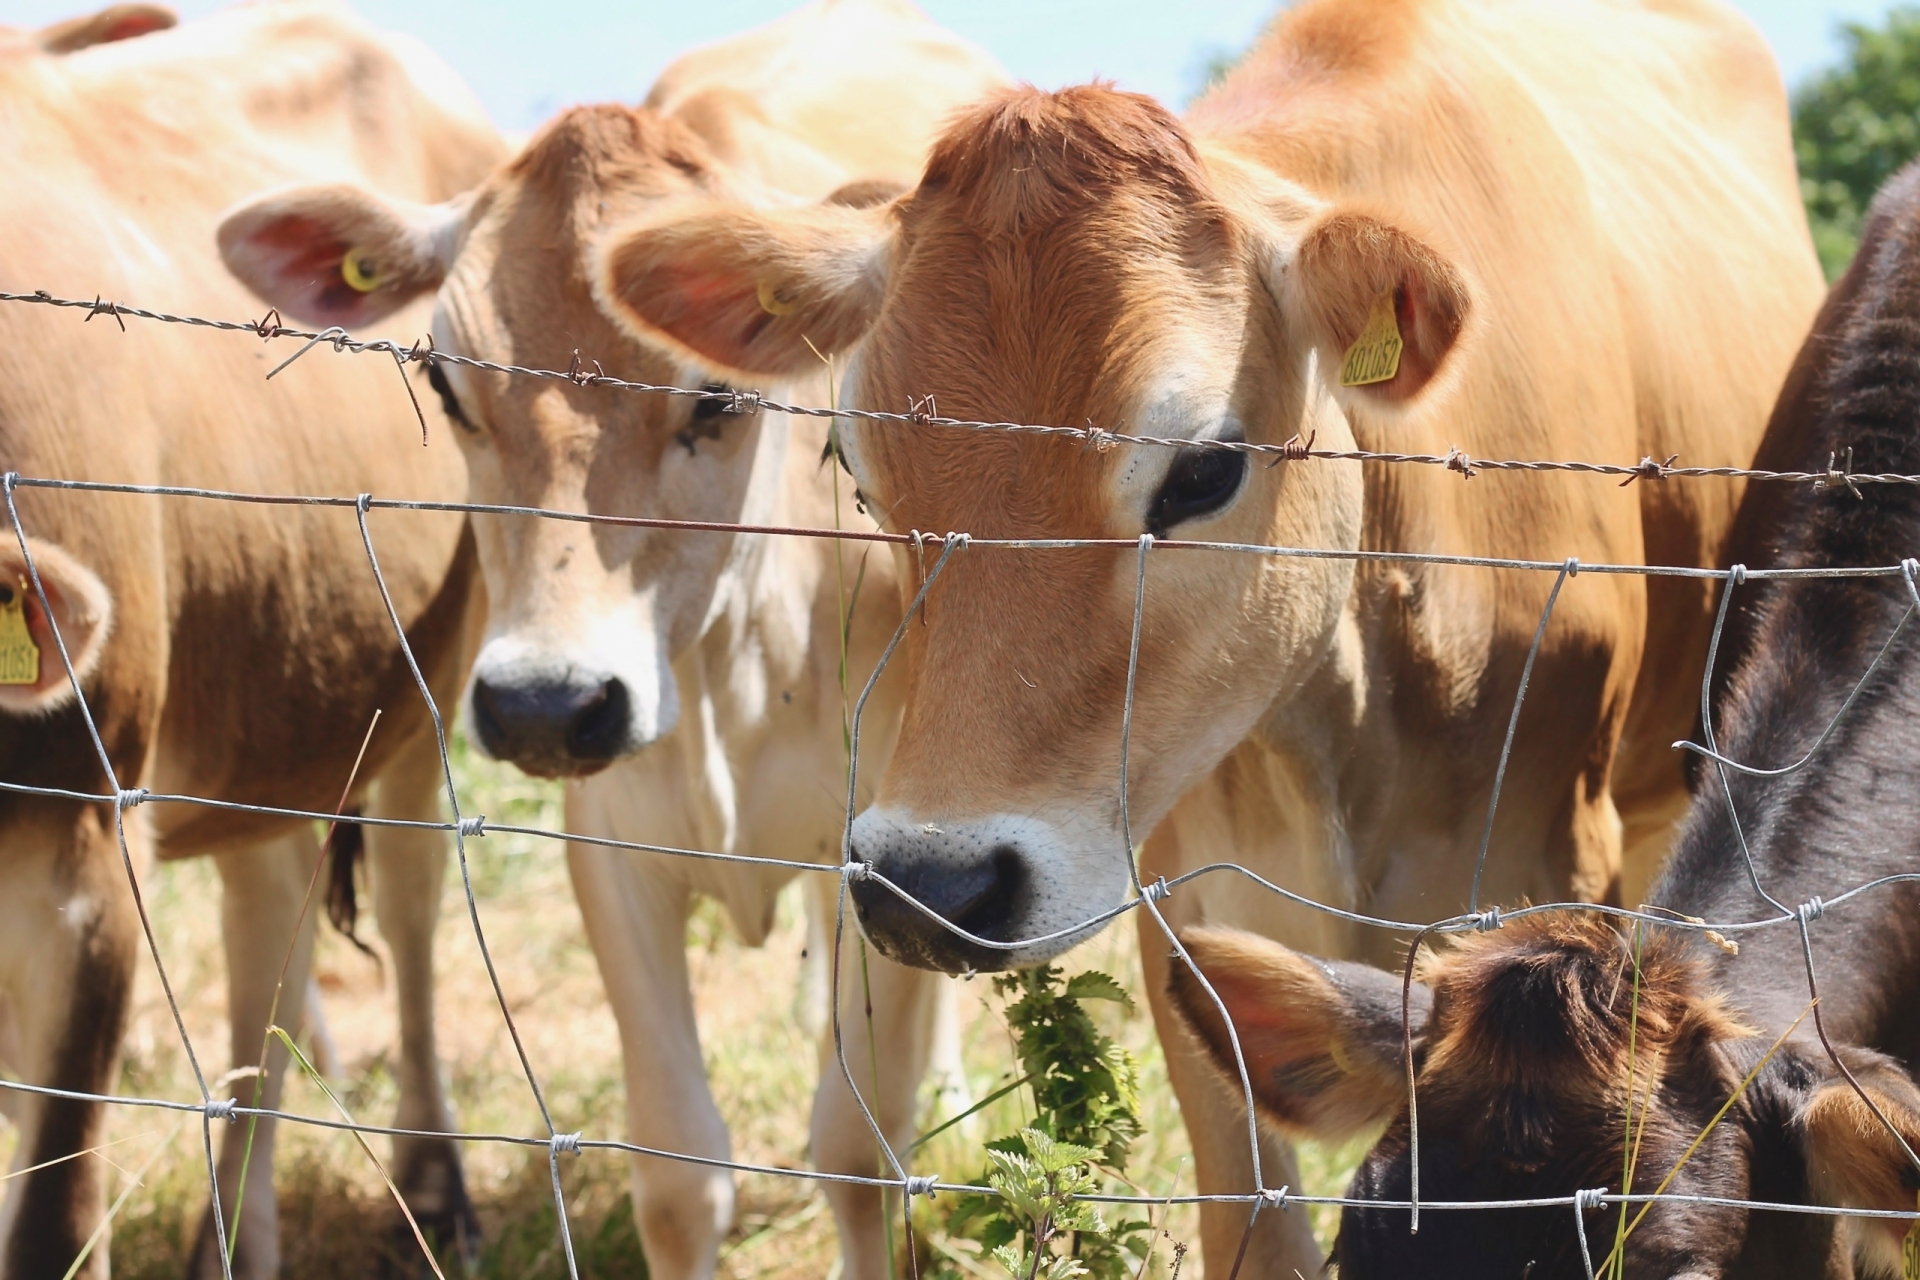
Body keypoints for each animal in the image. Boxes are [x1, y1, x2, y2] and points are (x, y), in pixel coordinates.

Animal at [0, 4, 504, 1276]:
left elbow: (49, 1215)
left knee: (413, 904)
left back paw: (436, 1178)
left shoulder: (84, 862)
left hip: (435, 677)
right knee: (264, 956)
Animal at [213, 2, 1009, 1276]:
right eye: (446, 383)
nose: (547, 702)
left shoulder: (896, 846)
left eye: (719, 395)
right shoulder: (614, 845)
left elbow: (856, 1148)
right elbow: (680, 1173)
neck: (739, 660)